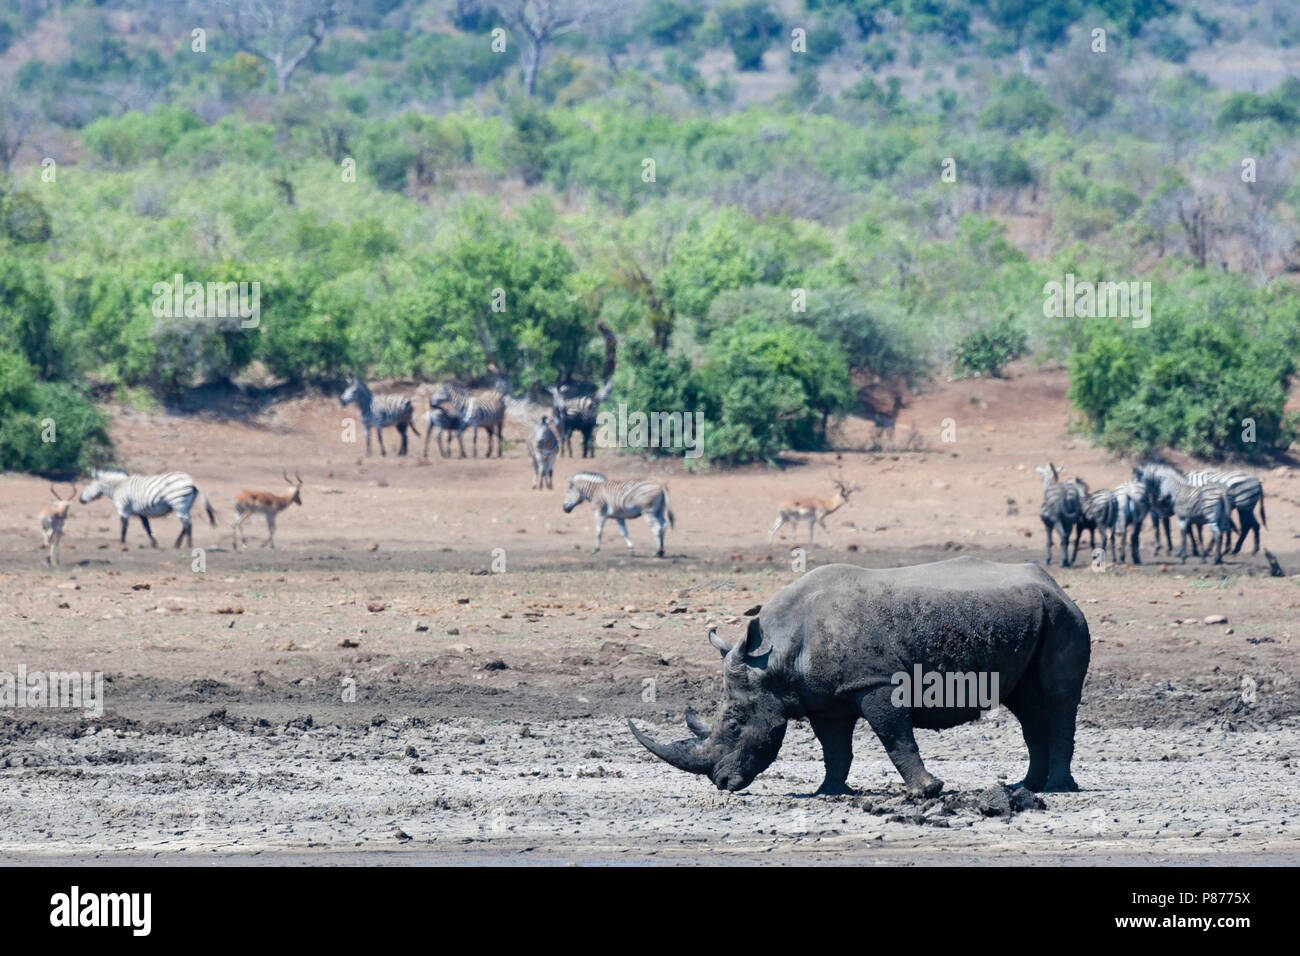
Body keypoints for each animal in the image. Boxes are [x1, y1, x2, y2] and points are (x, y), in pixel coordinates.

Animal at [630, 558, 1089, 797]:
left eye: (736, 723)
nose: (722, 783)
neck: (773, 660)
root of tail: (1057, 585)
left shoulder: (876, 682)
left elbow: (896, 738)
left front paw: (926, 791)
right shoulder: (824, 699)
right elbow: (835, 748)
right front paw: (828, 792)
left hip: (1064, 617)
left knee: (1057, 701)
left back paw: (1057, 789)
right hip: (1035, 614)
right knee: (1027, 706)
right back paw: (1026, 787)